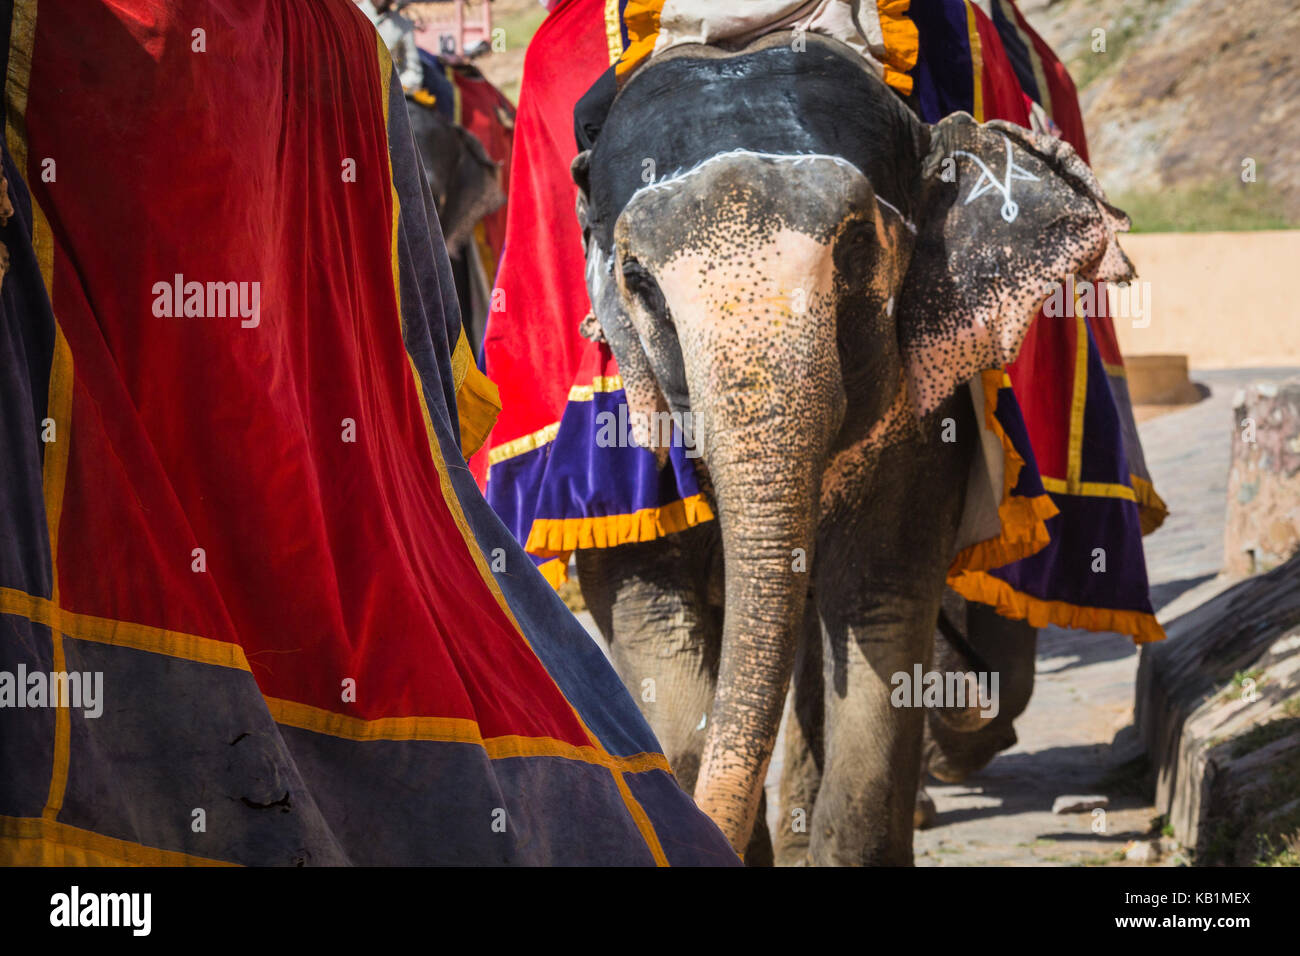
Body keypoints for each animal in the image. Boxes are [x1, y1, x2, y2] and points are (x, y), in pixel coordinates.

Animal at [570, 32, 1133, 865]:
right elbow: (647, 609)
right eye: (636, 277)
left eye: (861, 246)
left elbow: (879, 600)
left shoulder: (924, 407)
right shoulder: (607, 420)